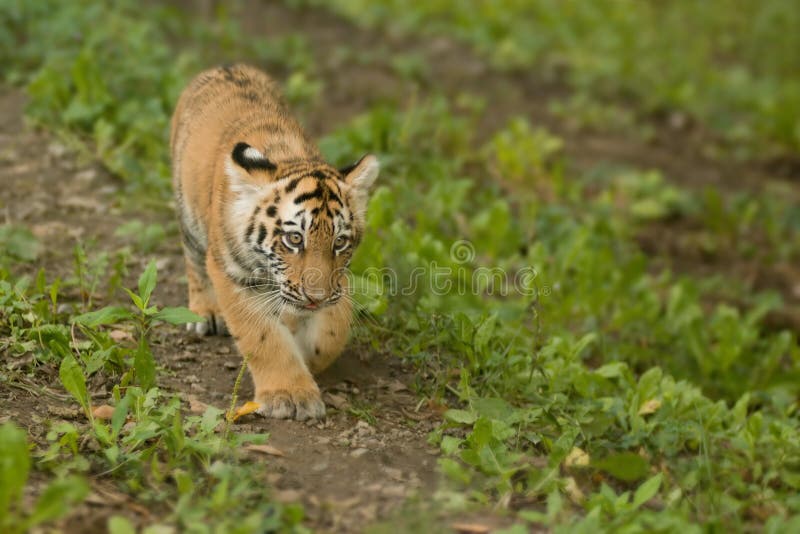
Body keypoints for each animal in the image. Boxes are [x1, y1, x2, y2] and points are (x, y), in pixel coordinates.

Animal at [170, 64, 379, 420]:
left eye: (339, 243)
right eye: (294, 239)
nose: (315, 298)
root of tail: (224, 66)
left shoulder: (338, 281)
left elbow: (333, 330)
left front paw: (308, 354)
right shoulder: (233, 275)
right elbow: (263, 338)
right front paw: (290, 396)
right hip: (190, 218)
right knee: (193, 261)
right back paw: (205, 312)